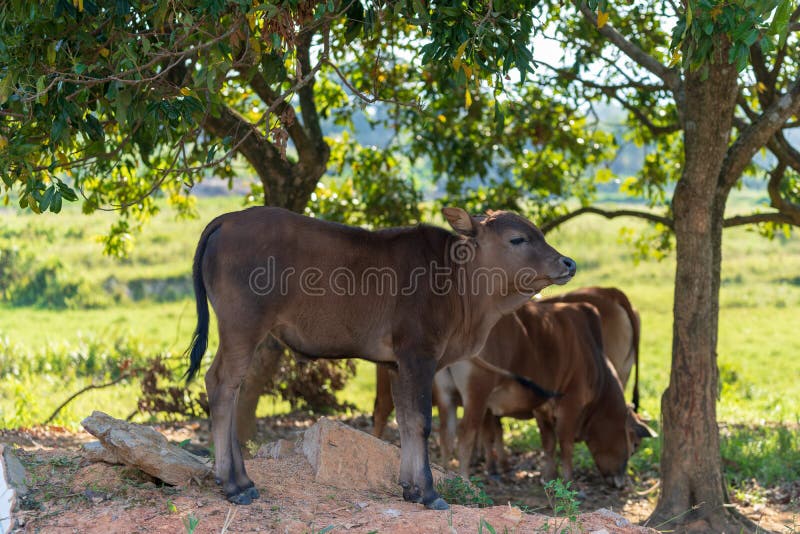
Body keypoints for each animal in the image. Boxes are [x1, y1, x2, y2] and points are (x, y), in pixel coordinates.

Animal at [185, 206, 576, 508]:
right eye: (518, 239)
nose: (568, 262)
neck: (460, 283)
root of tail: (229, 219)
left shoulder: (396, 364)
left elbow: (404, 421)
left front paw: (410, 488)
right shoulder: (419, 354)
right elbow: (421, 422)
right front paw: (429, 492)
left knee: (232, 388)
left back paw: (241, 479)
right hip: (242, 325)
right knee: (221, 384)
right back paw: (233, 484)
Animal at [448, 301, 656, 487]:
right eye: (635, 445)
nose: (621, 482)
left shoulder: (542, 408)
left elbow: (548, 442)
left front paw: (548, 476)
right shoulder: (570, 404)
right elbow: (565, 445)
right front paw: (569, 481)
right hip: (478, 390)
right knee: (465, 432)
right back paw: (465, 479)